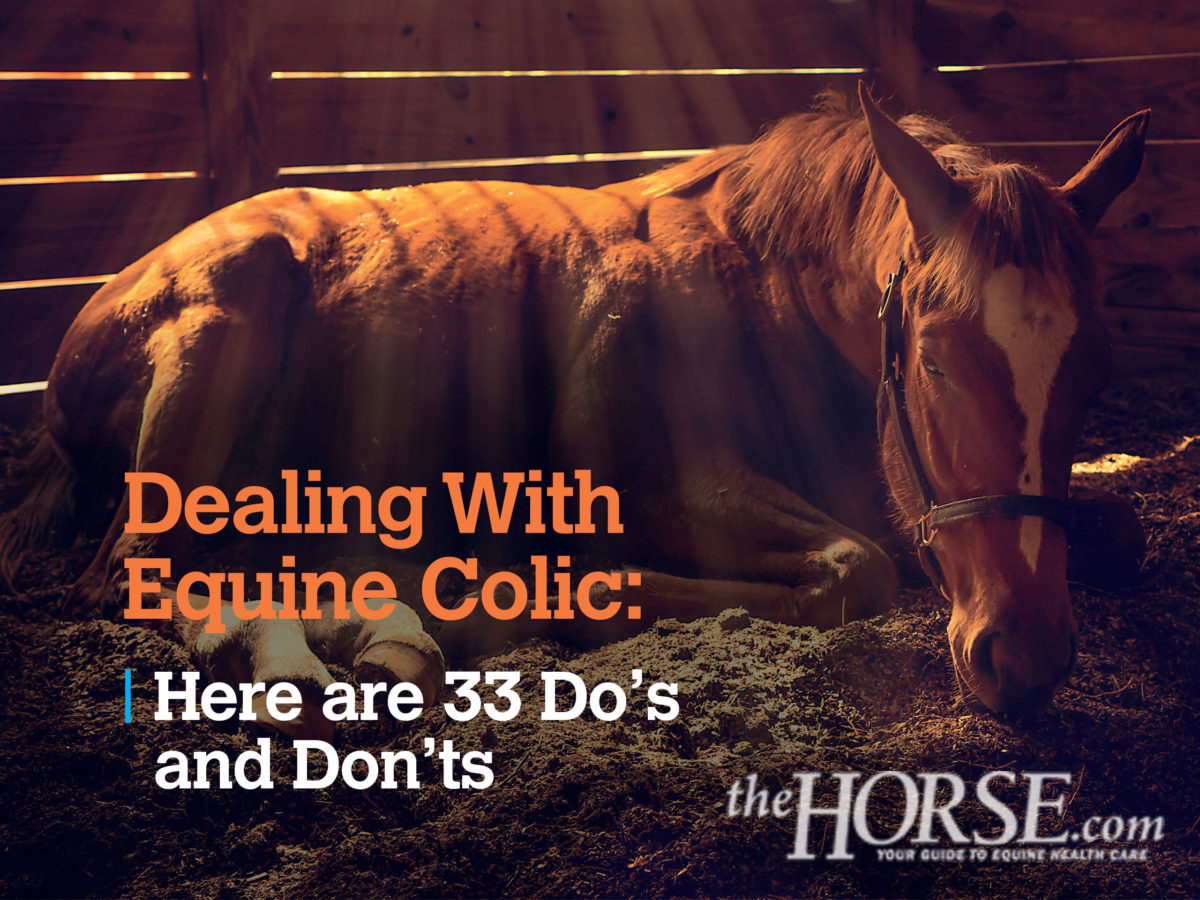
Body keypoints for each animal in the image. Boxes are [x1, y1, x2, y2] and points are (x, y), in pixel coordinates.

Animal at [0, 85, 1147, 736]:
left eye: (1095, 369)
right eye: (937, 361)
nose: (1025, 659)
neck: (758, 285)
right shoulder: (660, 484)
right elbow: (853, 569)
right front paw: (535, 592)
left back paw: (382, 632)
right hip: (221, 330)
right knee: (136, 572)